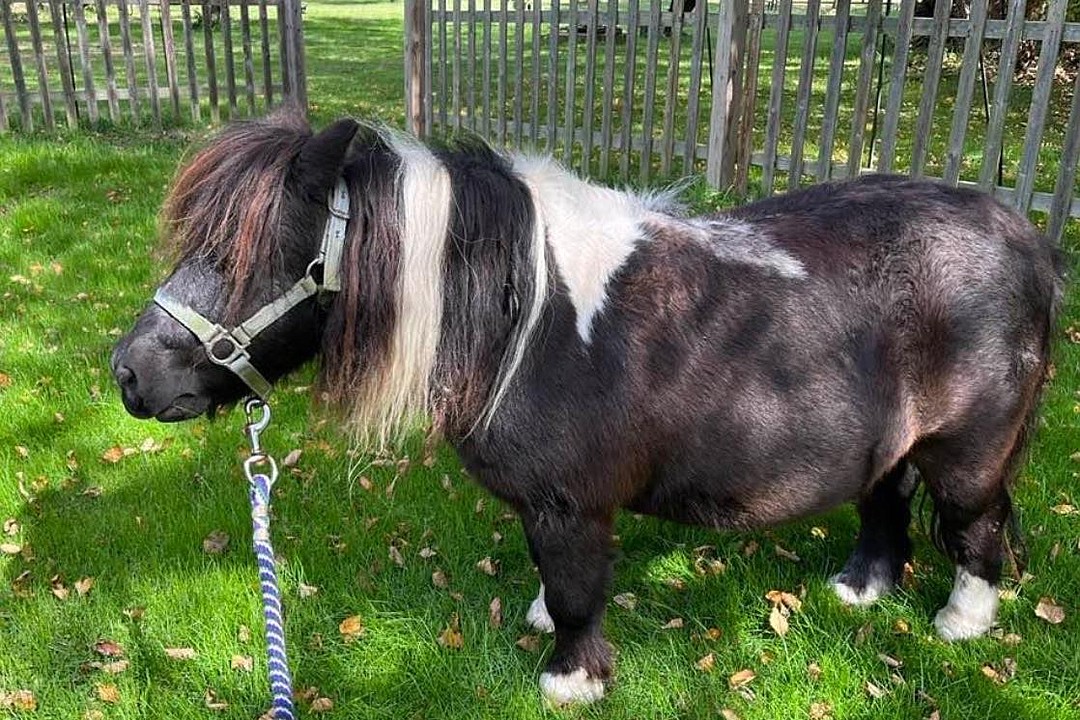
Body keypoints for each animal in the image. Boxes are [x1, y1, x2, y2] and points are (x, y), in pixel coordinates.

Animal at [111, 112, 1064, 705]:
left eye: (251, 257)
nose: (129, 375)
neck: (527, 320)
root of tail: (1024, 237)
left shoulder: (571, 505)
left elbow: (576, 592)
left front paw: (569, 679)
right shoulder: (550, 506)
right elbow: (554, 577)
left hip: (969, 450)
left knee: (977, 526)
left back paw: (962, 623)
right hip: (893, 444)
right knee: (885, 503)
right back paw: (861, 589)